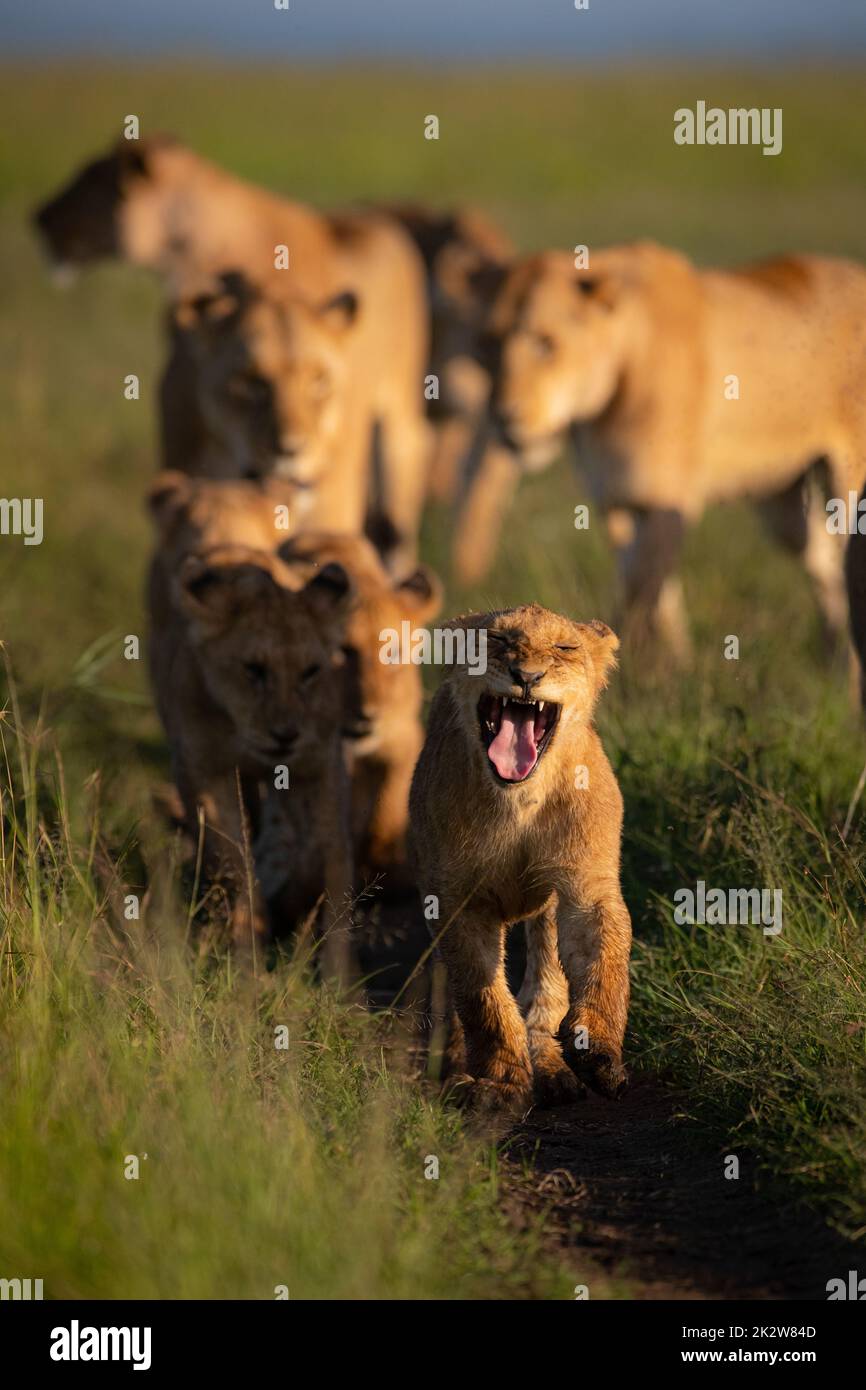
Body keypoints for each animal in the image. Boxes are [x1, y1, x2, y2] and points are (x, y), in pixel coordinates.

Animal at [149, 540, 355, 984]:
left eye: (310, 672)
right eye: (253, 670)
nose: (286, 734)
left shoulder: (318, 765)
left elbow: (330, 853)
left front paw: (340, 982)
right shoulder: (204, 772)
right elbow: (234, 857)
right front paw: (251, 952)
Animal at [408, 602, 631, 1113]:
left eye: (564, 647)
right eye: (496, 640)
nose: (527, 676)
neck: (519, 800)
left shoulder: (585, 885)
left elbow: (605, 961)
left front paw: (599, 1053)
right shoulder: (456, 901)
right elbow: (482, 999)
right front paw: (503, 1081)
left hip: (546, 910)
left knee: (546, 979)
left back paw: (551, 1066)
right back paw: (458, 1068)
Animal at [463, 242, 866, 654]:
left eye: (546, 343)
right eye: (489, 344)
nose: (501, 416)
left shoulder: (669, 501)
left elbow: (644, 589)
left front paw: (643, 663)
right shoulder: (616, 501)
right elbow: (649, 587)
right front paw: (671, 658)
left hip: (848, 480)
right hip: (782, 503)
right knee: (823, 561)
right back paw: (835, 656)